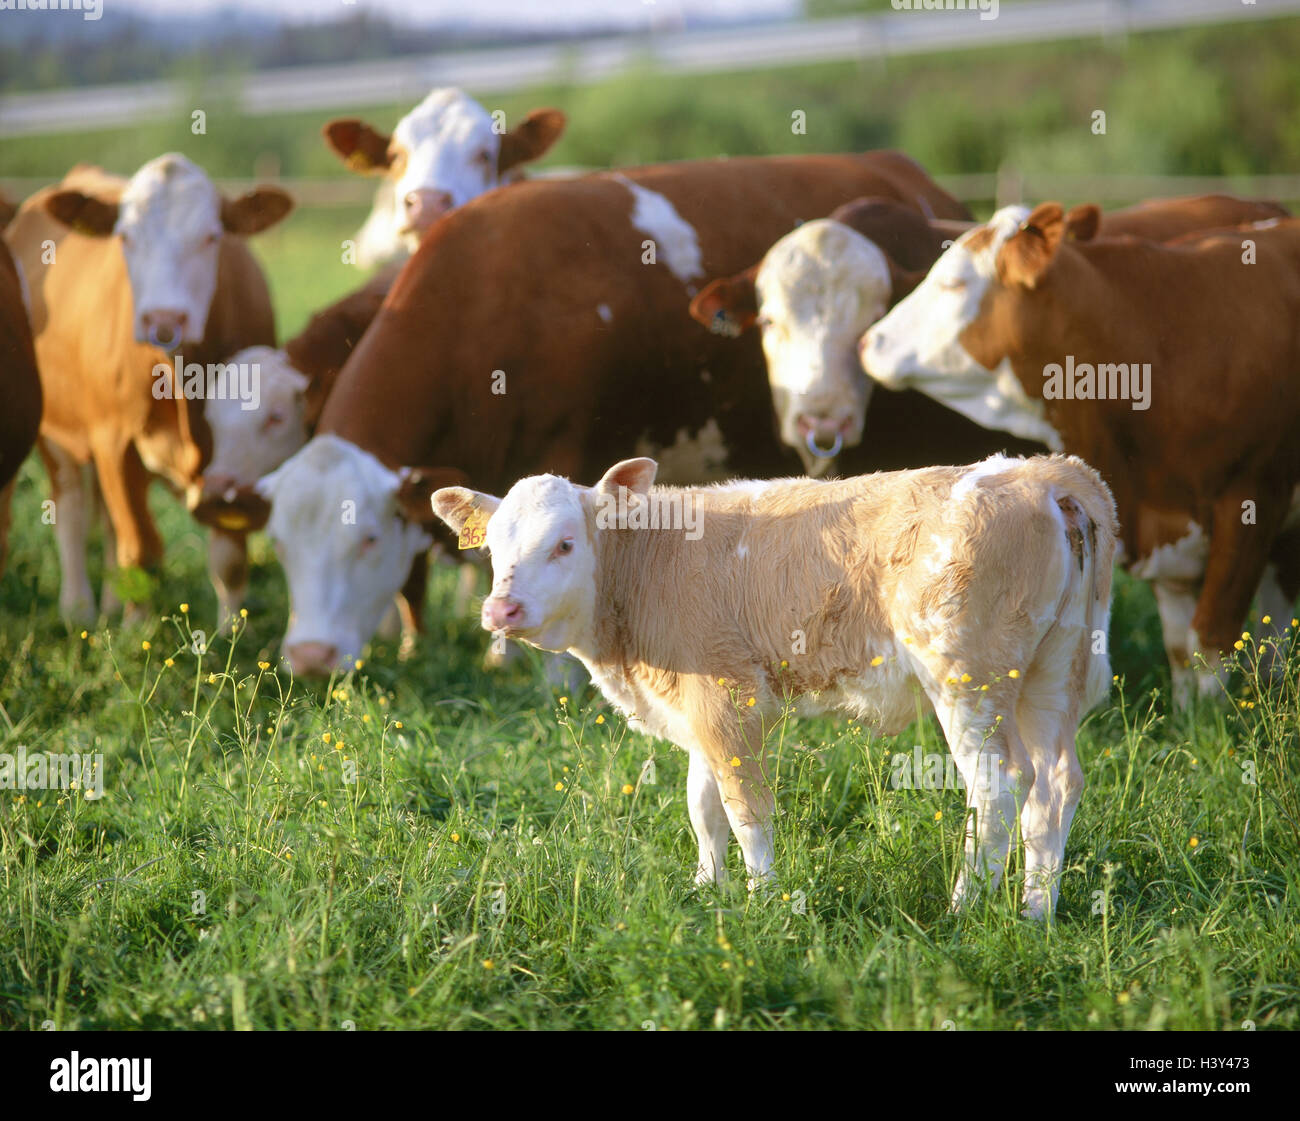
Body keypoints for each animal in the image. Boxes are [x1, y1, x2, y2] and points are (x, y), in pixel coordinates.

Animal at [4, 156, 291, 623]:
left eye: (212, 237)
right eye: (125, 237)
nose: (164, 317)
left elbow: (229, 558)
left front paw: (233, 630)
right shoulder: (114, 441)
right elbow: (138, 546)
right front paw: (135, 626)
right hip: (54, 432)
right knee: (72, 510)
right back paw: (79, 608)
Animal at [430, 453, 1117, 920]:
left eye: (565, 544)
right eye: (492, 549)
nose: (501, 610)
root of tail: (1042, 475)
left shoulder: (726, 696)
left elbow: (744, 809)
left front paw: (763, 901)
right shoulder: (698, 702)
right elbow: (703, 804)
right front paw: (706, 887)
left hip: (966, 677)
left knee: (999, 785)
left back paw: (963, 907)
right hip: (1051, 674)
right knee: (1055, 785)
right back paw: (1035, 911)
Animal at [860, 202, 1300, 703]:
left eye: (953, 282)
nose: (868, 340)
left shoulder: (1252, 501)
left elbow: (1212, 637)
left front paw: (1217, 715)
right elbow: (1182, 650)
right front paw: (1192, 714)